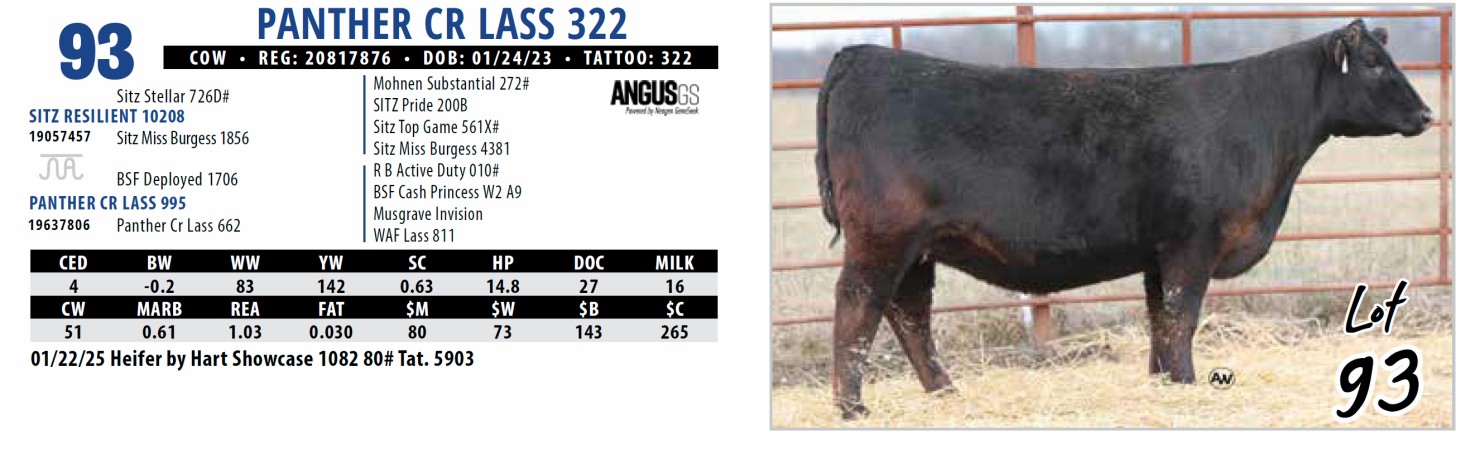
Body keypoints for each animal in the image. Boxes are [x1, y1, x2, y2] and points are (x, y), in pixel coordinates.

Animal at [814, 19, 1432, 419]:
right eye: (1373, 65)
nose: (1426, 114)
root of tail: (859, 54)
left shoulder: (1158, 250)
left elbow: (1161, 318)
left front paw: (1164, 384)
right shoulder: (1192, 242)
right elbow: (1182, 315)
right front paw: (1188, 382)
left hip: (920, 247)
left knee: (909, 314)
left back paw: (944, 393)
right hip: (883, 238)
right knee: (857, 306)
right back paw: (852, 406)